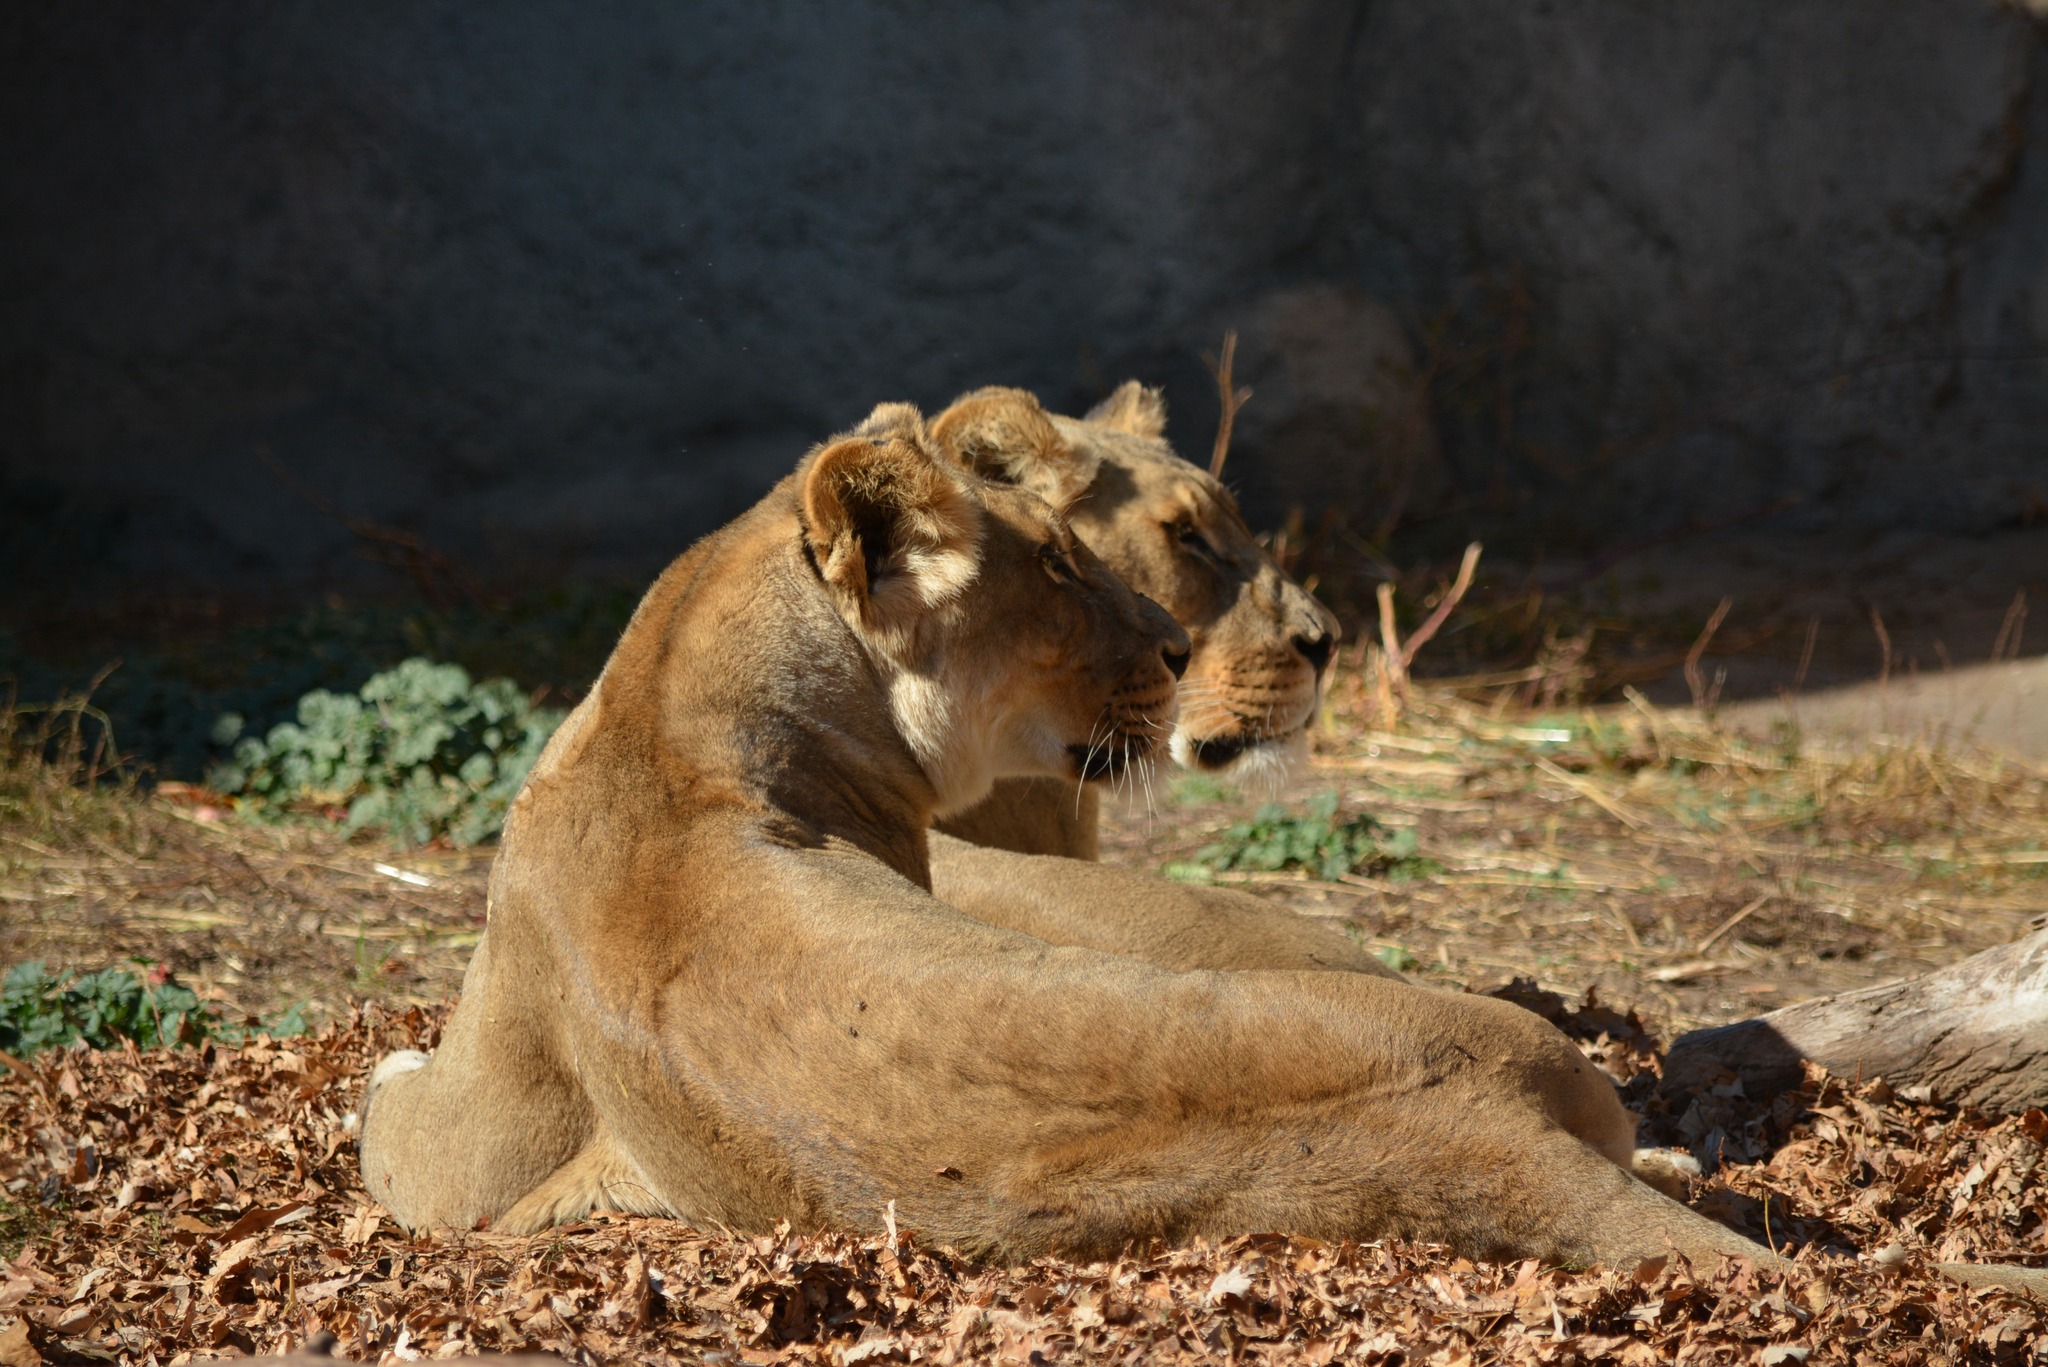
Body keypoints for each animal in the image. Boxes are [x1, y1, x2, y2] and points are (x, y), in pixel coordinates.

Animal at [355, 404, 2044, 1295]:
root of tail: (1459, 1129)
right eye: (1053, 565)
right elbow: (391, 1117)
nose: (1175, 649)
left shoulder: (472, 1158)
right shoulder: (461, 1159)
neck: (671, 702)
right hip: (1505, 1043)